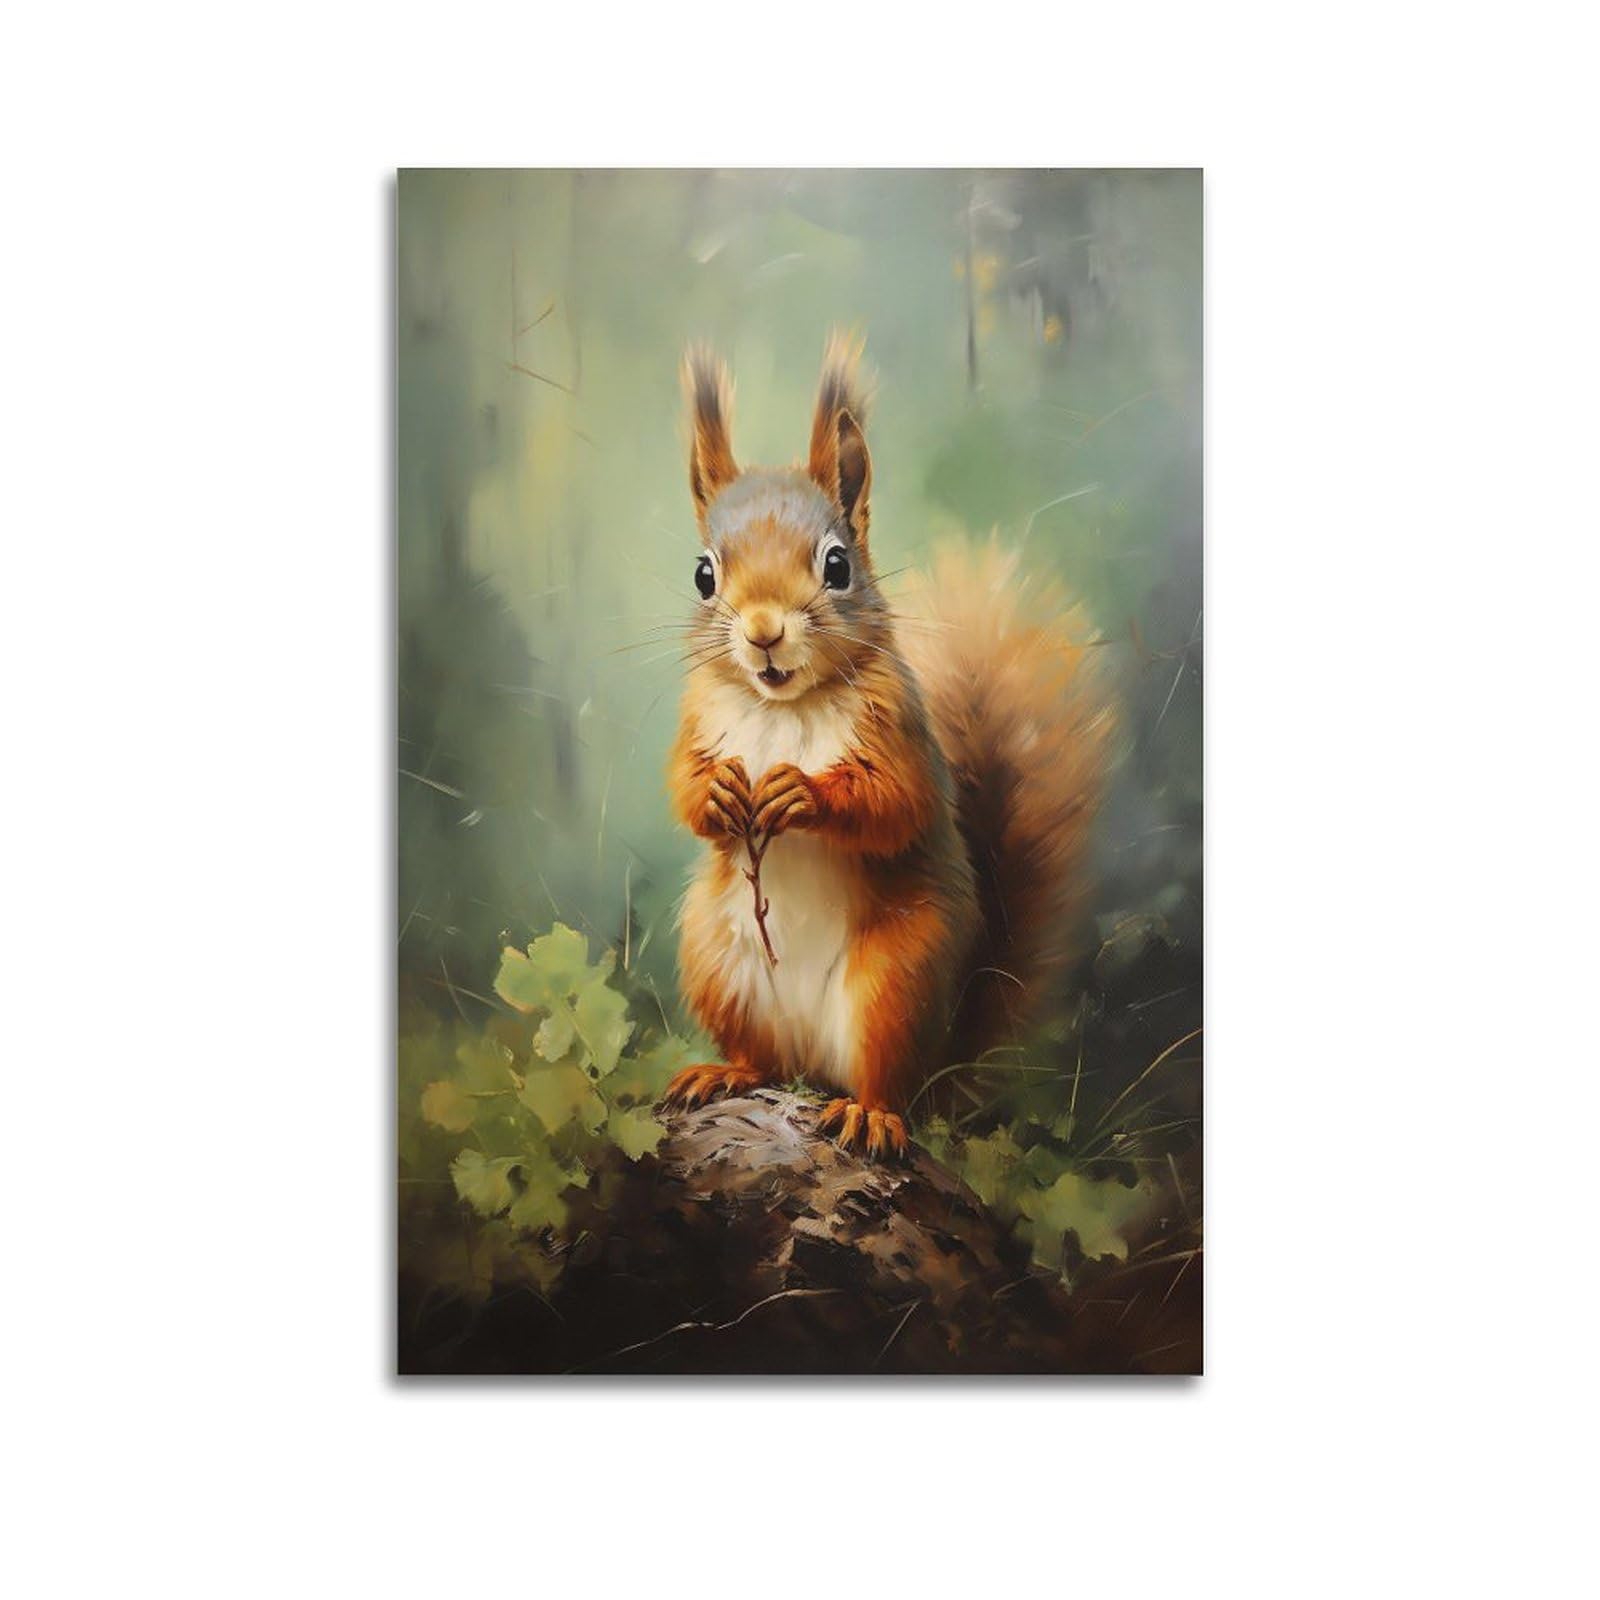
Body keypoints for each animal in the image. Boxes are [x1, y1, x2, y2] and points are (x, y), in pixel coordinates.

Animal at [661, 334, 1111, 1160]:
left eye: (837, 565)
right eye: (705, 575)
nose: (764, 631)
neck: (783, 707)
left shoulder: (901, 729)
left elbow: (893, 803)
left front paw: (801, 792)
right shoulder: (697, 718)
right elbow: (683, 785)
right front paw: (719, 792)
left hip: (894, 981)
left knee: (884, 1079)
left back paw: (869, 1114)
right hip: (718, 958)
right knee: (762, 1056)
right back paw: (726, 1071)